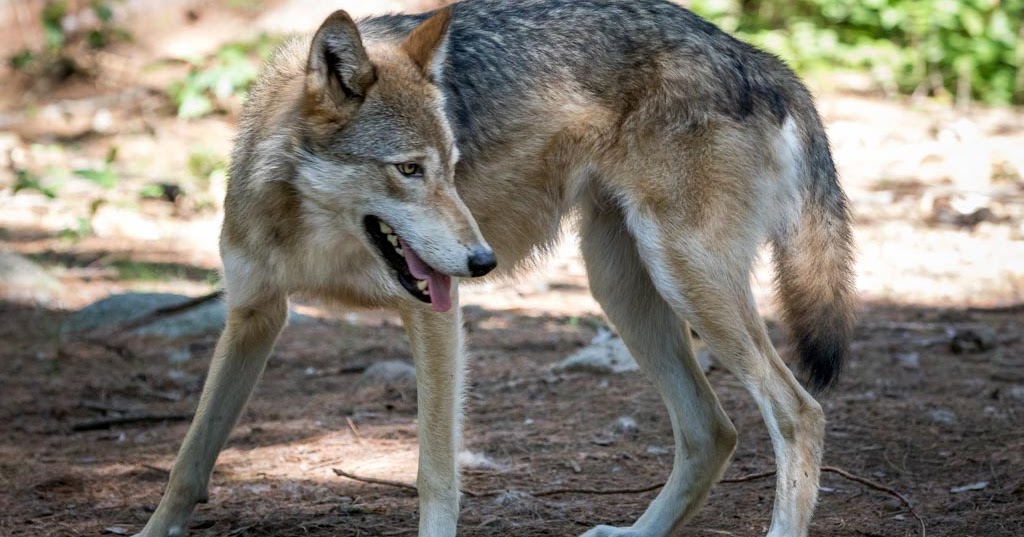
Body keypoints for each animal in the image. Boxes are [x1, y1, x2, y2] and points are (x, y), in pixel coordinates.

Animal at [133, 1, 855, 536]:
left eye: (451, 168)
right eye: (408, 170)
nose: (483, 261)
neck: (312, 236)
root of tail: (757, 56)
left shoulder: (433, 314)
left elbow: (435, 471)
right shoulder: (254, 315)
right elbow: (189, 458)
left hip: (686, 281)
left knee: (799, 413)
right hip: (622, 288)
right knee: (713, 430)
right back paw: (635, 532)